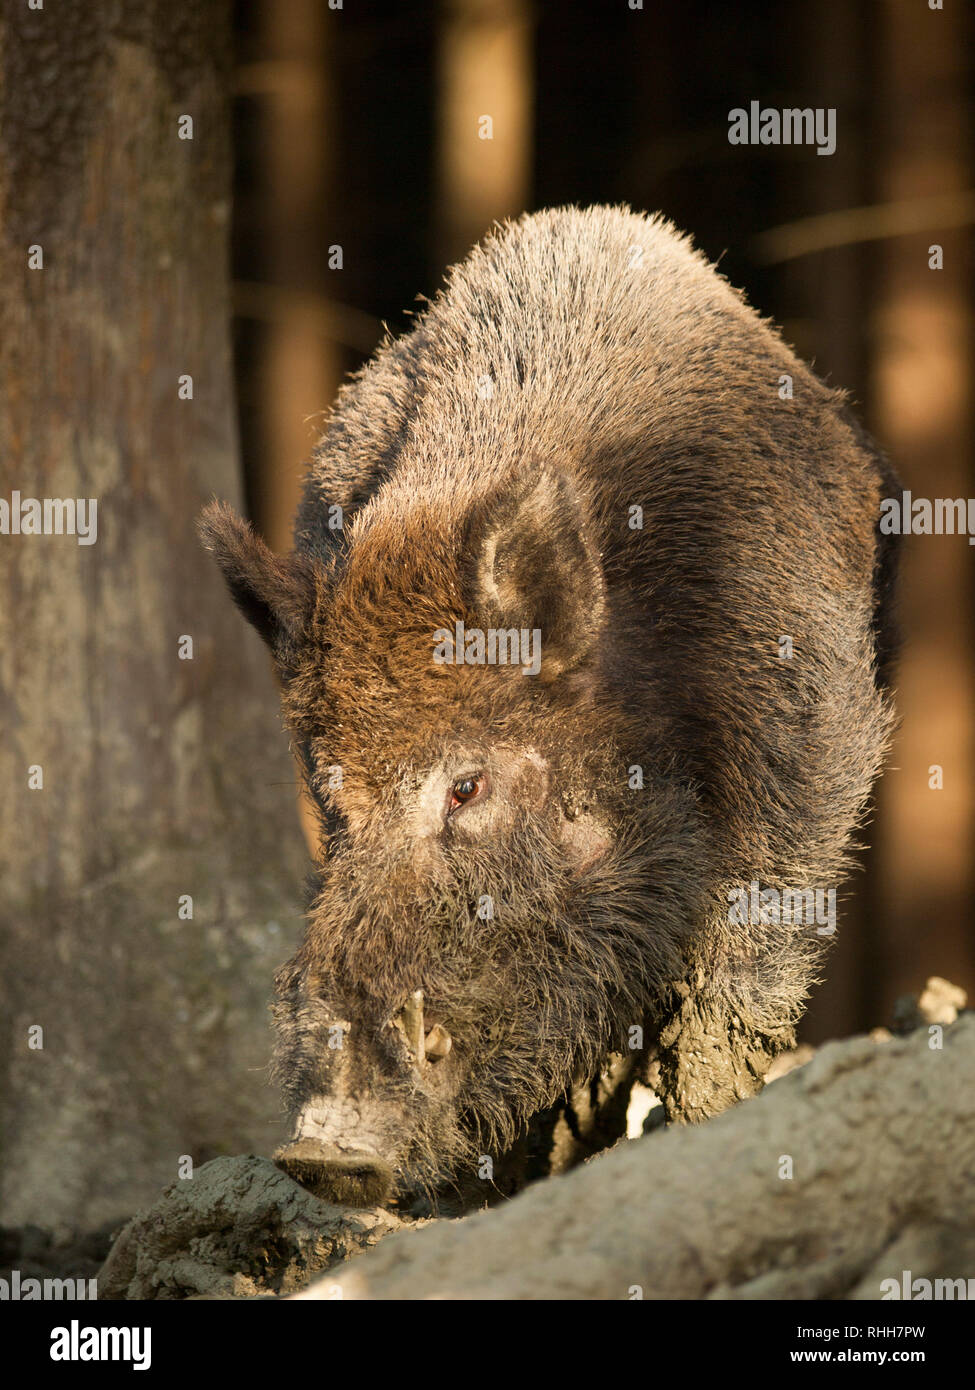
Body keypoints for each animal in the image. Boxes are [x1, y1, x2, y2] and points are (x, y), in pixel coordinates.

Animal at [200, 205, 900, 1210]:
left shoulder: (809, 749)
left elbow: (741, 975)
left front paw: (705, 1119)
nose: (323, 1156)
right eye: (330, 796)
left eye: (465, 786)